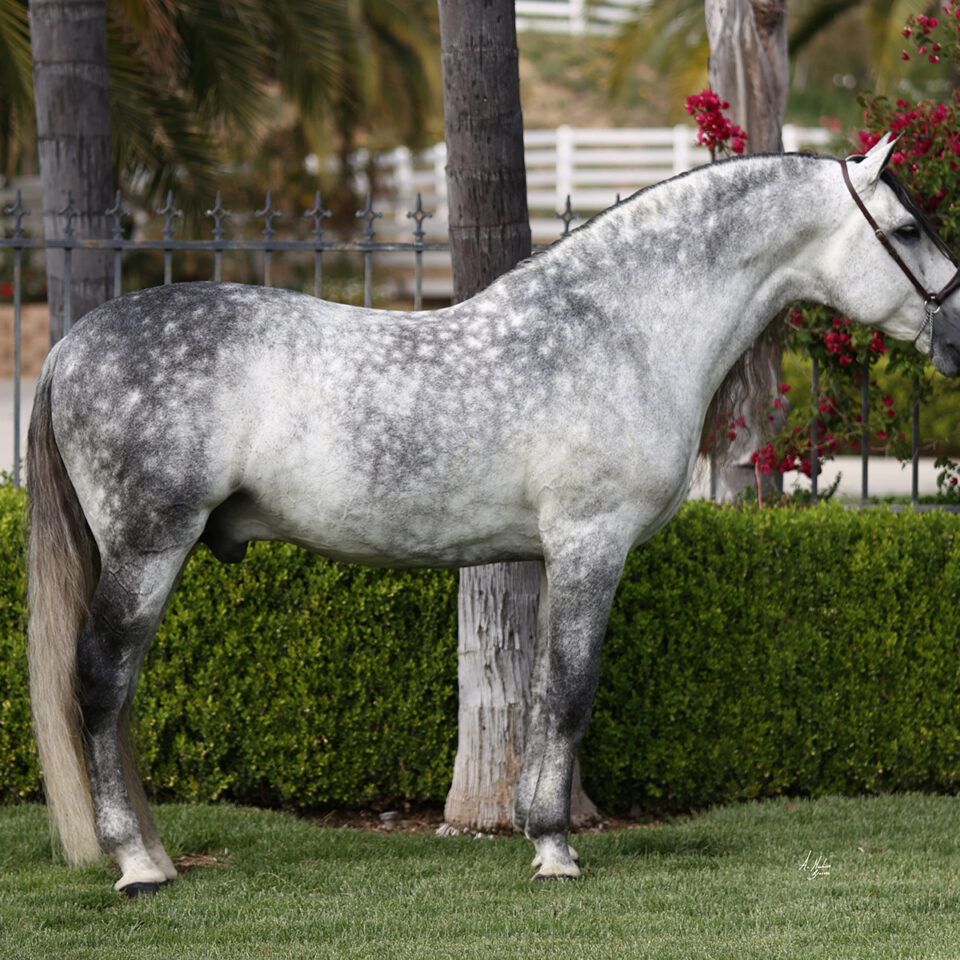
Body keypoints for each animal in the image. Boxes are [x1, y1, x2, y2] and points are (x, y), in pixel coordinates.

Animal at [26, 134, 960, 896]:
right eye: (907, 230)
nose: (957, 334)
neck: (620, 332)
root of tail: (70, 345)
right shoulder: (591, 543)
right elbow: (571, 691)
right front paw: (554, 849)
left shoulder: (553, 554)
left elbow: (546, 688)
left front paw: (536, 829)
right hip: (147, 547)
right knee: (101, 686)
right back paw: (136, 865)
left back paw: (154, 850)